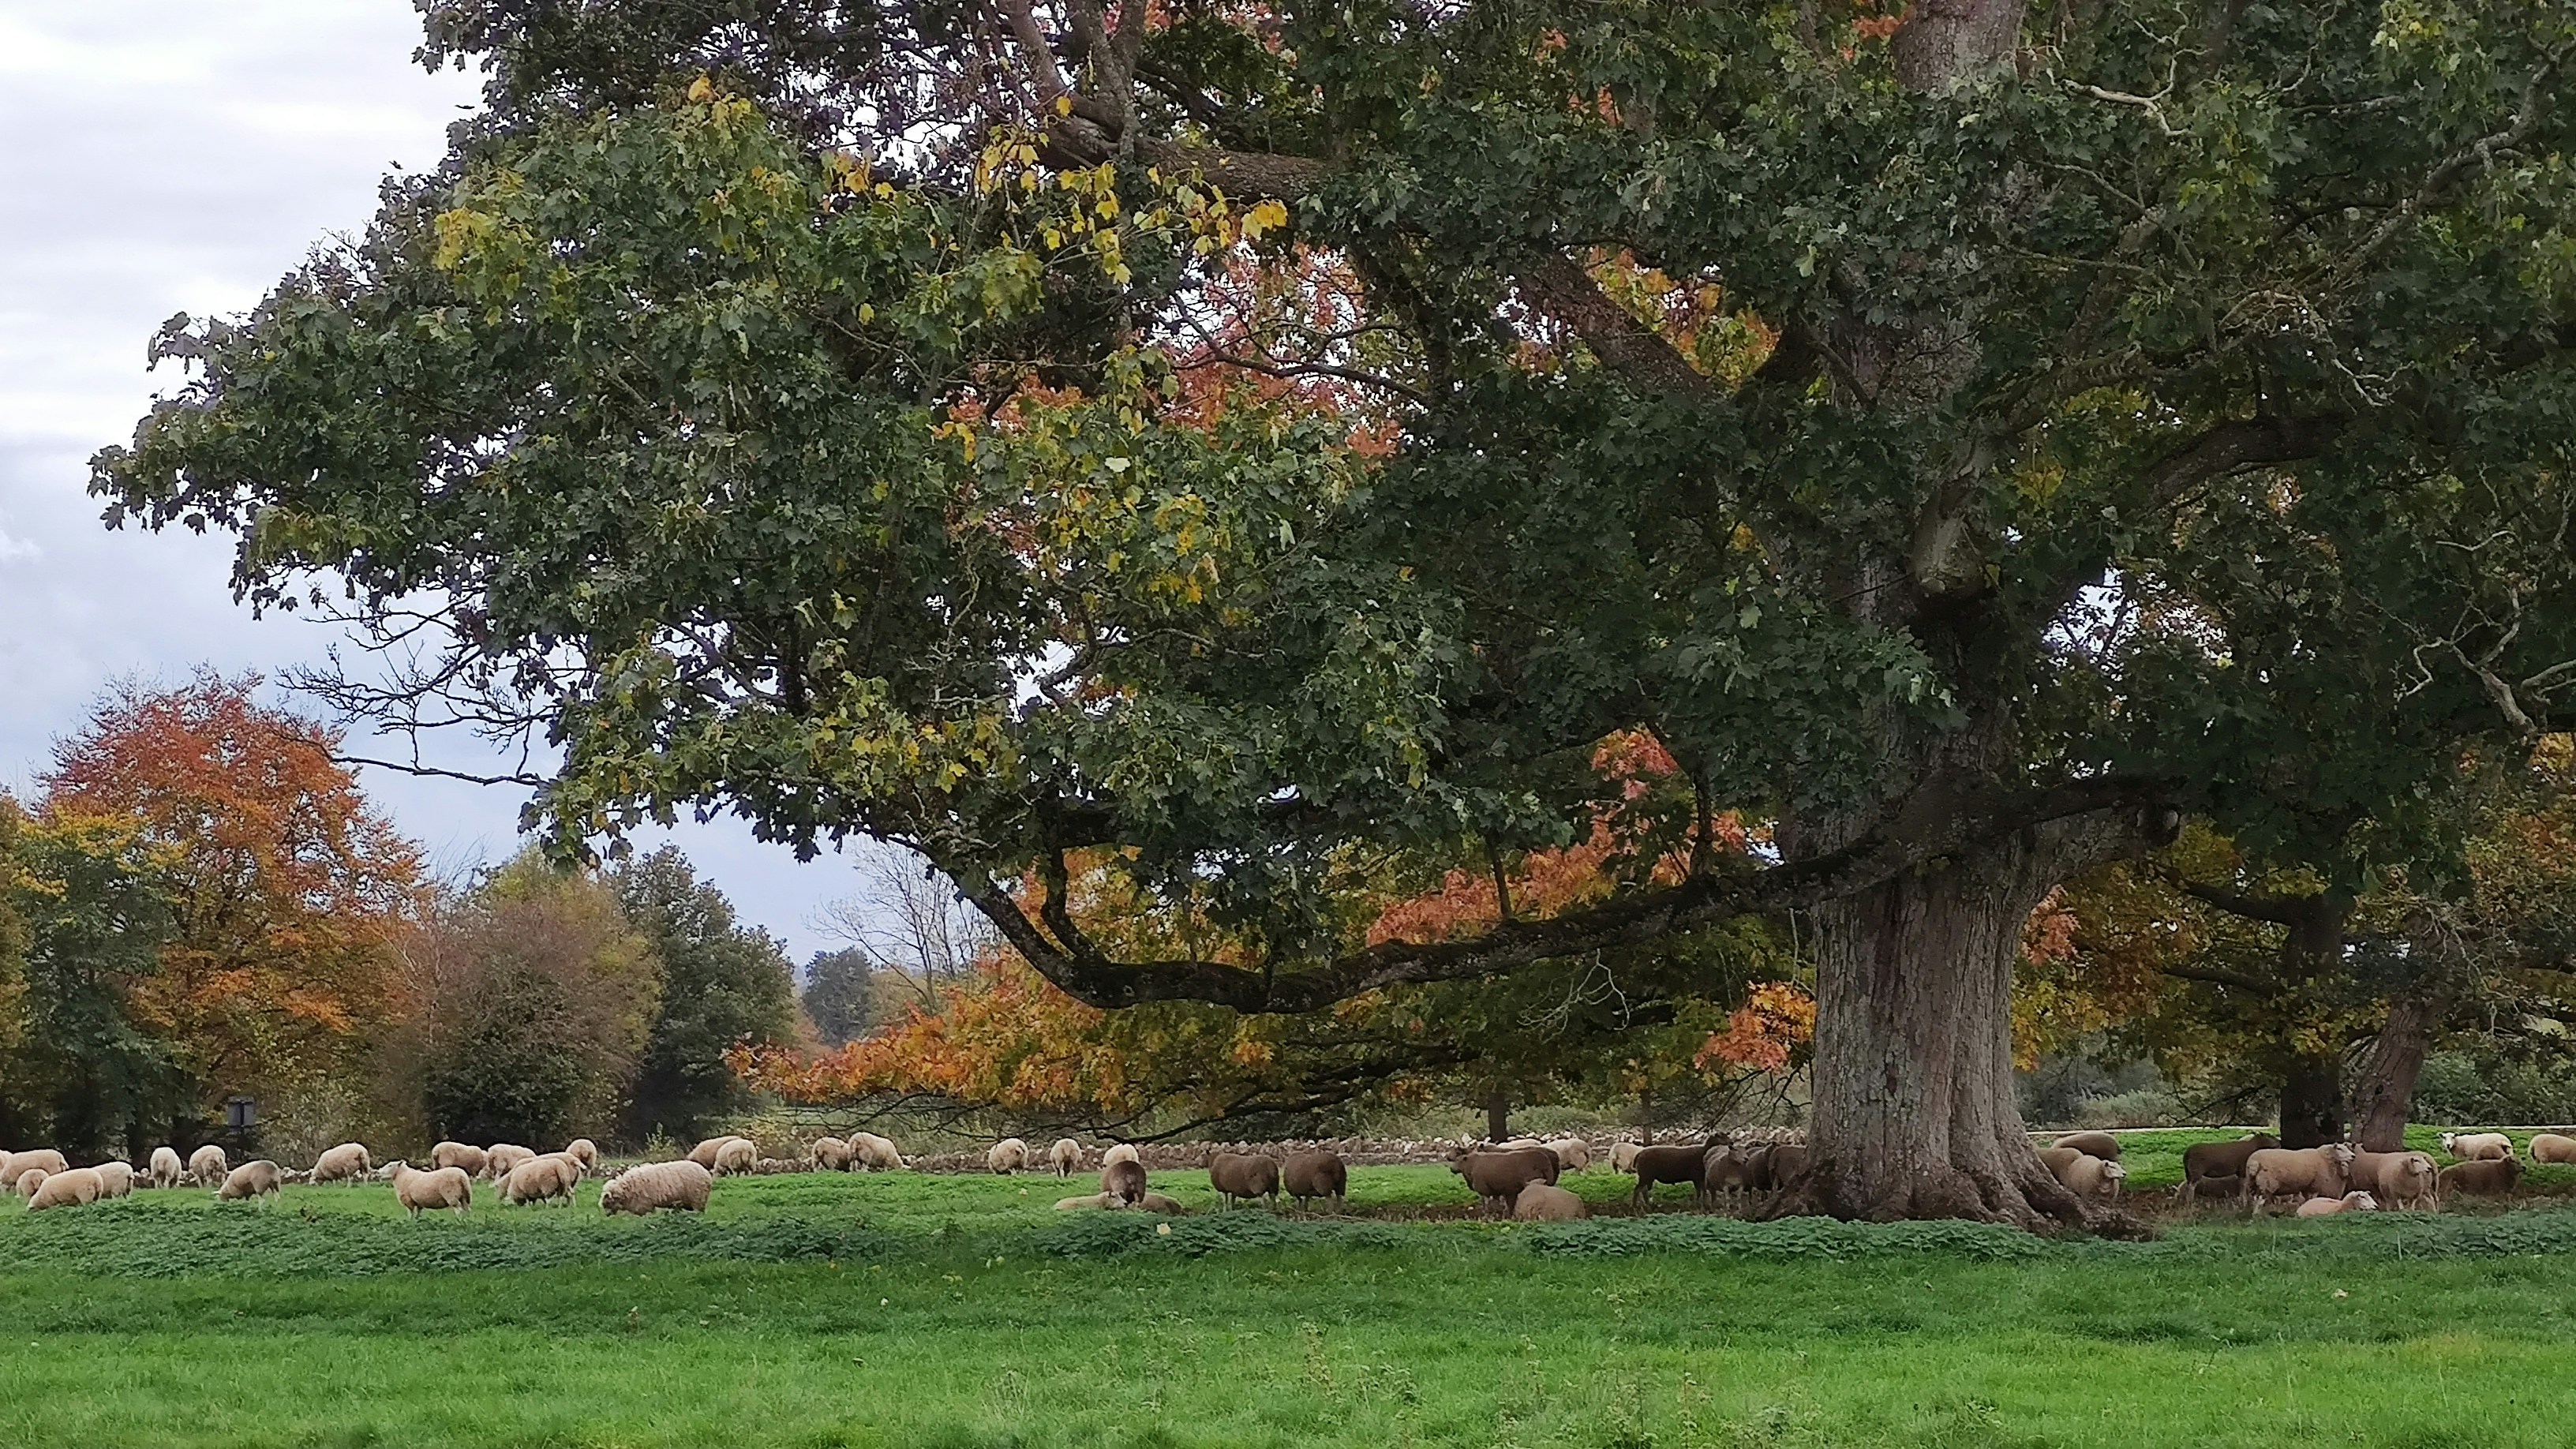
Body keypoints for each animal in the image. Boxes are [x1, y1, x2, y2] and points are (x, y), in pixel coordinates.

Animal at [1453, 1147, 1560, 1216]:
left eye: (1458, 1161)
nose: (1452, 1169)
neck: (1471, 1164)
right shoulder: (1496, 1190)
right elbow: (1496, 1204)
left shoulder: (1484, 1189)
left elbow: (1486, 1203)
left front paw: (1488, 1215)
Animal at [2244, 1144, 2356, 1215]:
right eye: (2340, 1149)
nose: (2353, 1156)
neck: (2324, 1158)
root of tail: (2253, 1162)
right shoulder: (2315, 1186)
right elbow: (2312, 1198)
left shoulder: (2307, 1186)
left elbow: (2307, 1199)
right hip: (2267, 1182)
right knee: (2260, 1200)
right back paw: (2258, 1216)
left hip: (2253, 1182)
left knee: (2255, 1199)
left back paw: (2254, 1214)